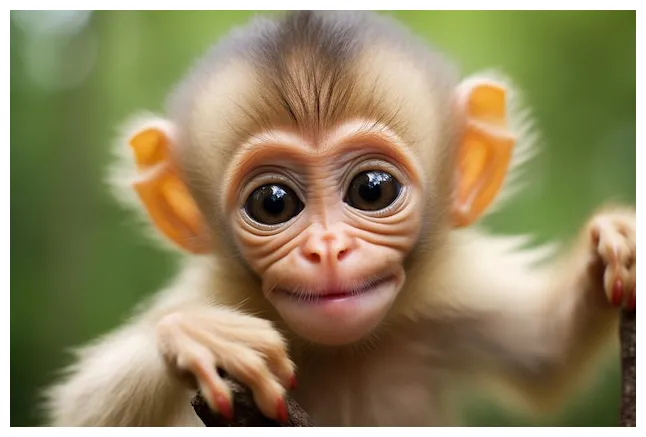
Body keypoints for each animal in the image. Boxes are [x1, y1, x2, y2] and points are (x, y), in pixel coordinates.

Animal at [43, 10, 636, 427]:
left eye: (373, 190)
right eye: (273, 203)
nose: (327, 249)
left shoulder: (449, 296)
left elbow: (546, 357)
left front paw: (613, 241)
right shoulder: (213, 287)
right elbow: (81, 412)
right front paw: (195, 333)